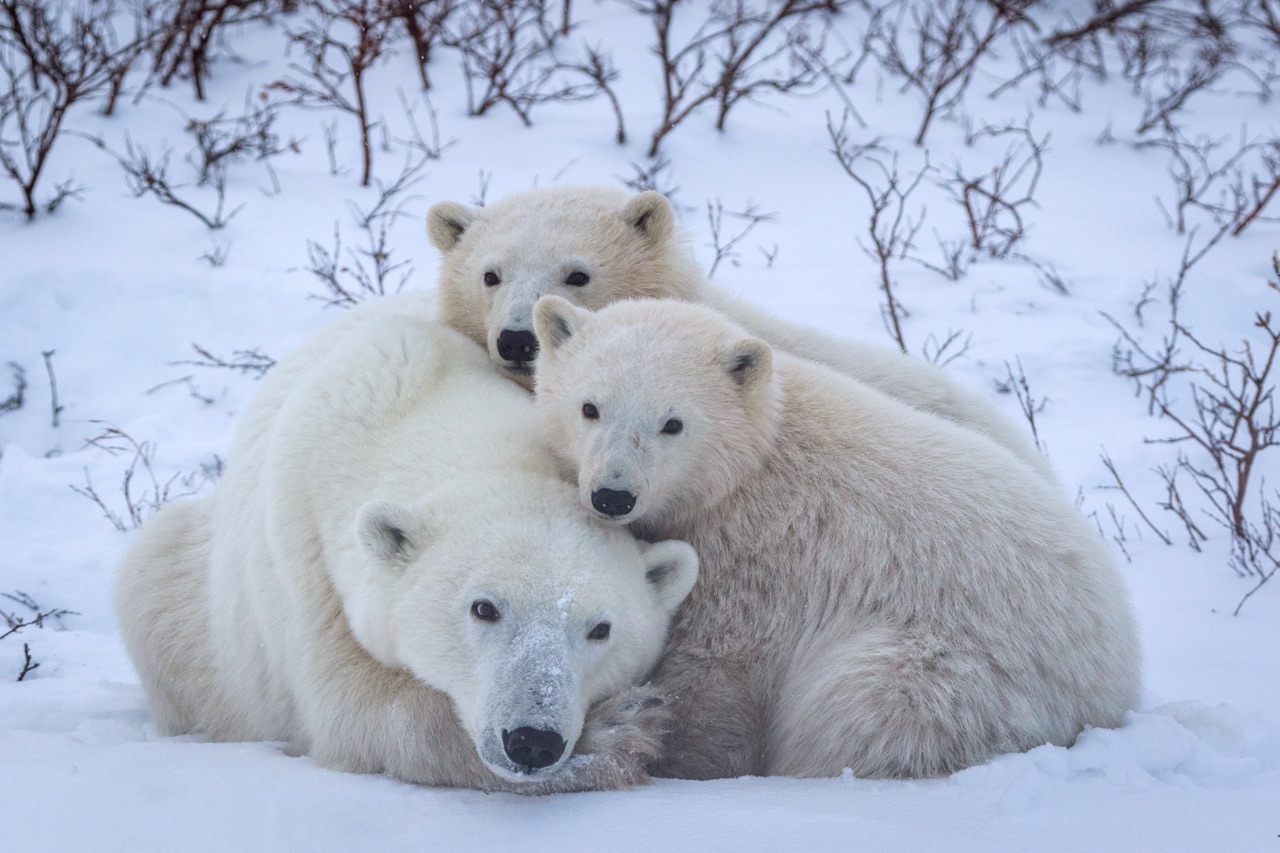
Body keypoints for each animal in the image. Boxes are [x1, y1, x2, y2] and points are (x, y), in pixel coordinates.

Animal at [114, 292, 700, 793]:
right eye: (483, 608)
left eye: (601, 629)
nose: (532, 741)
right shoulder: (309, 561)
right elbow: (357, 710)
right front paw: (622, 729)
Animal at [529, 295, 1142, 781]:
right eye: (589, 407)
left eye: (672, 423)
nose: (613, 496)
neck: (750, 465)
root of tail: (1117, 679)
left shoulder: (758, 559)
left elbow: (714, 675)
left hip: (953, 675)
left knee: (859, 710)